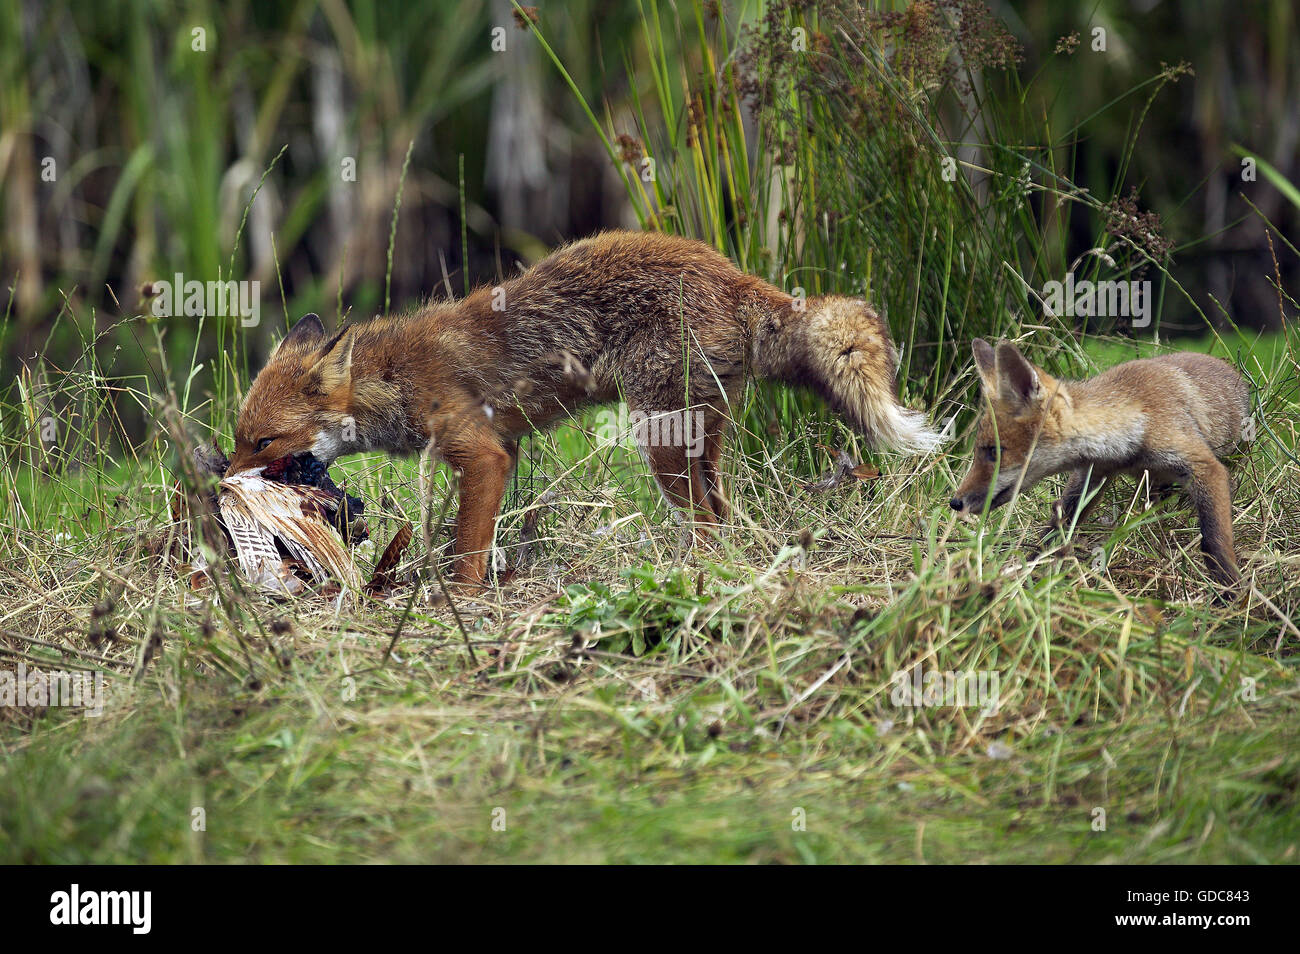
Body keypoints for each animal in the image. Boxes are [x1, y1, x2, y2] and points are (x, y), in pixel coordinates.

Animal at [228, 230, 942, 586]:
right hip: (703, 437)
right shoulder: (504, 448)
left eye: (262, 443)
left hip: (660, 440)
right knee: (722, 513)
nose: (220, 481)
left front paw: (461, 598)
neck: (395, 377)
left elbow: (466, 546)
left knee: (704, 524)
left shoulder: (481, 454)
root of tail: (740, 278)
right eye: (239, 440)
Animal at [949, 338, 1251, 595]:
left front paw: (1231, 593)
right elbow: (1054, 531)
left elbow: (1213, 540)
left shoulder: (1204, 466)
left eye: (994, 451)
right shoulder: (1091, 476)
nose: (955, 502)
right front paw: (1026, 573)